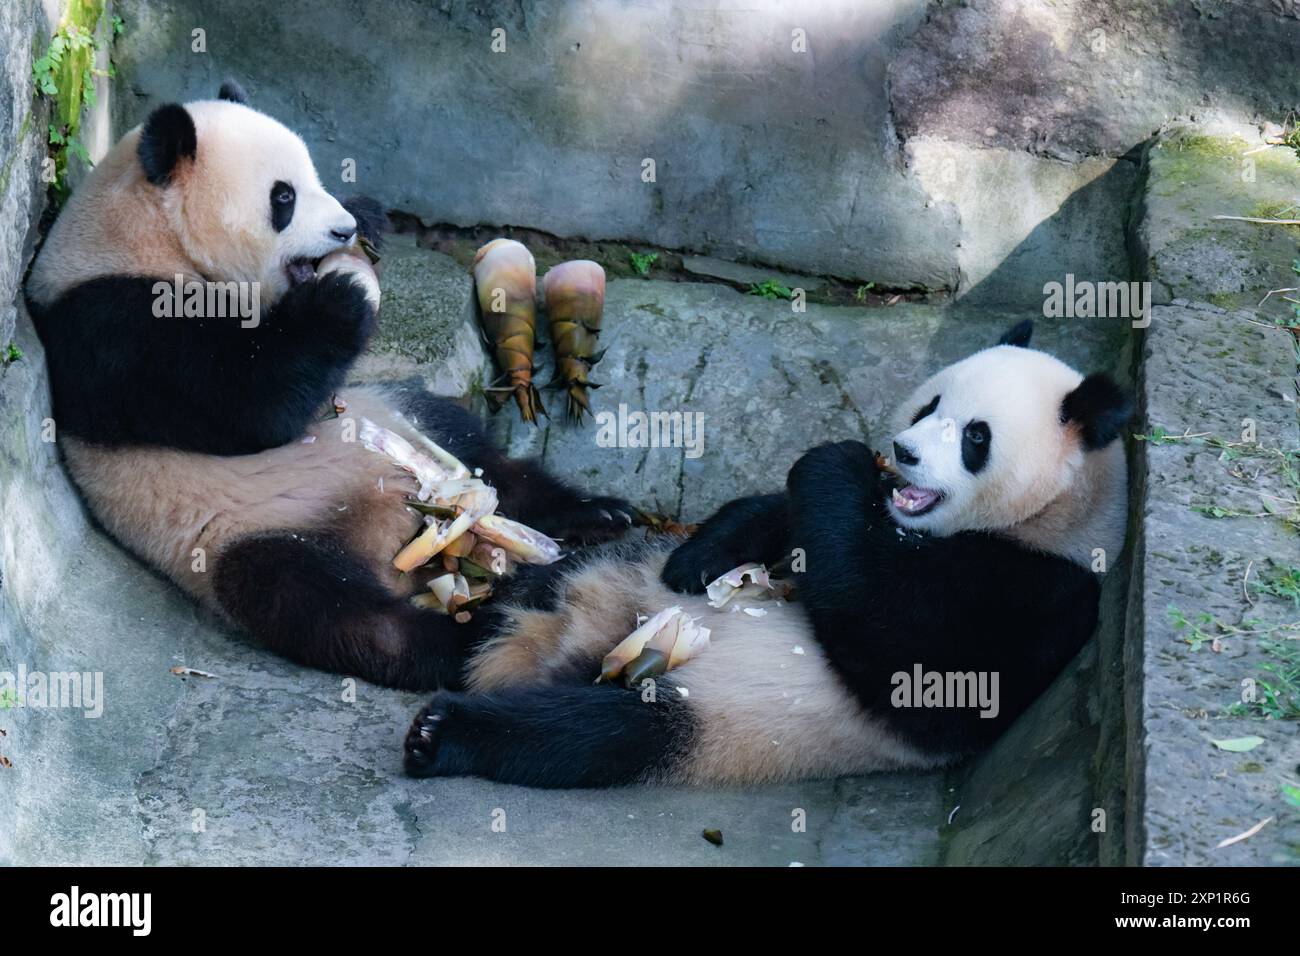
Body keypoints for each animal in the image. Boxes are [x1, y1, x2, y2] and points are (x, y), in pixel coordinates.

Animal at [24, 81, 631, 691]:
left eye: (315, 177)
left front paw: (367, 218)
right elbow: (246, 408)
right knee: (325, 608)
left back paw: (592, 514)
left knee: (479, 454)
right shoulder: (108, 324)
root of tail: (393, 541)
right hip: (237, 535)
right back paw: (468, 635)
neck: (145, 237)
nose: (342, 231)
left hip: (399, 418)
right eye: (283, 198)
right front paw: (339, 297)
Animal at [402, 321, 1132, 787]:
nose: (903, 453)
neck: (1050, 518)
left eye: (976, 437)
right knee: (543, 588)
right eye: (931, 404)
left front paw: (834, 463)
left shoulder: (1038, 595)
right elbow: (782, 522)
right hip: (617, 578)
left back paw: (443, 733)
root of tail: (572, 644)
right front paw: (698, 559)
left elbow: (910, 652)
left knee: (587, 734)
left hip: (712, 714)